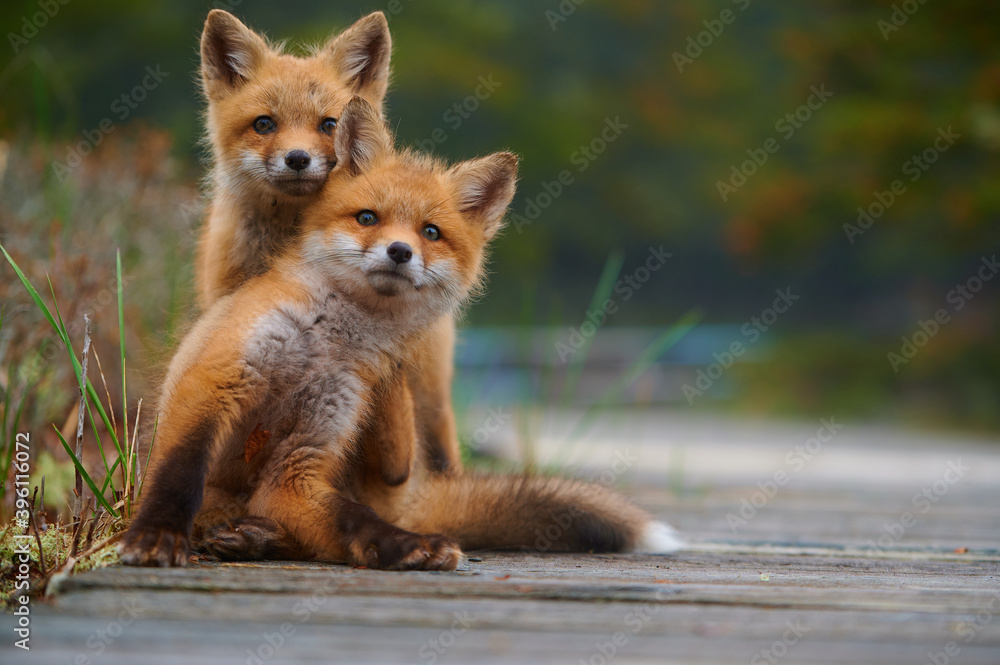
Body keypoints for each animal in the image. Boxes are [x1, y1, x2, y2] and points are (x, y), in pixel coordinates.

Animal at [119, 97, 682, 570]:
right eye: (368, 218)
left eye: (430, 232)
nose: (399, 251)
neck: (325, 342)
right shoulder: (216, 379)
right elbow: (179, 473)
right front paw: (157, 537)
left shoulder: (303, 458)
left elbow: (353, 520)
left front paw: (405, 547)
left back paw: (259, 537)